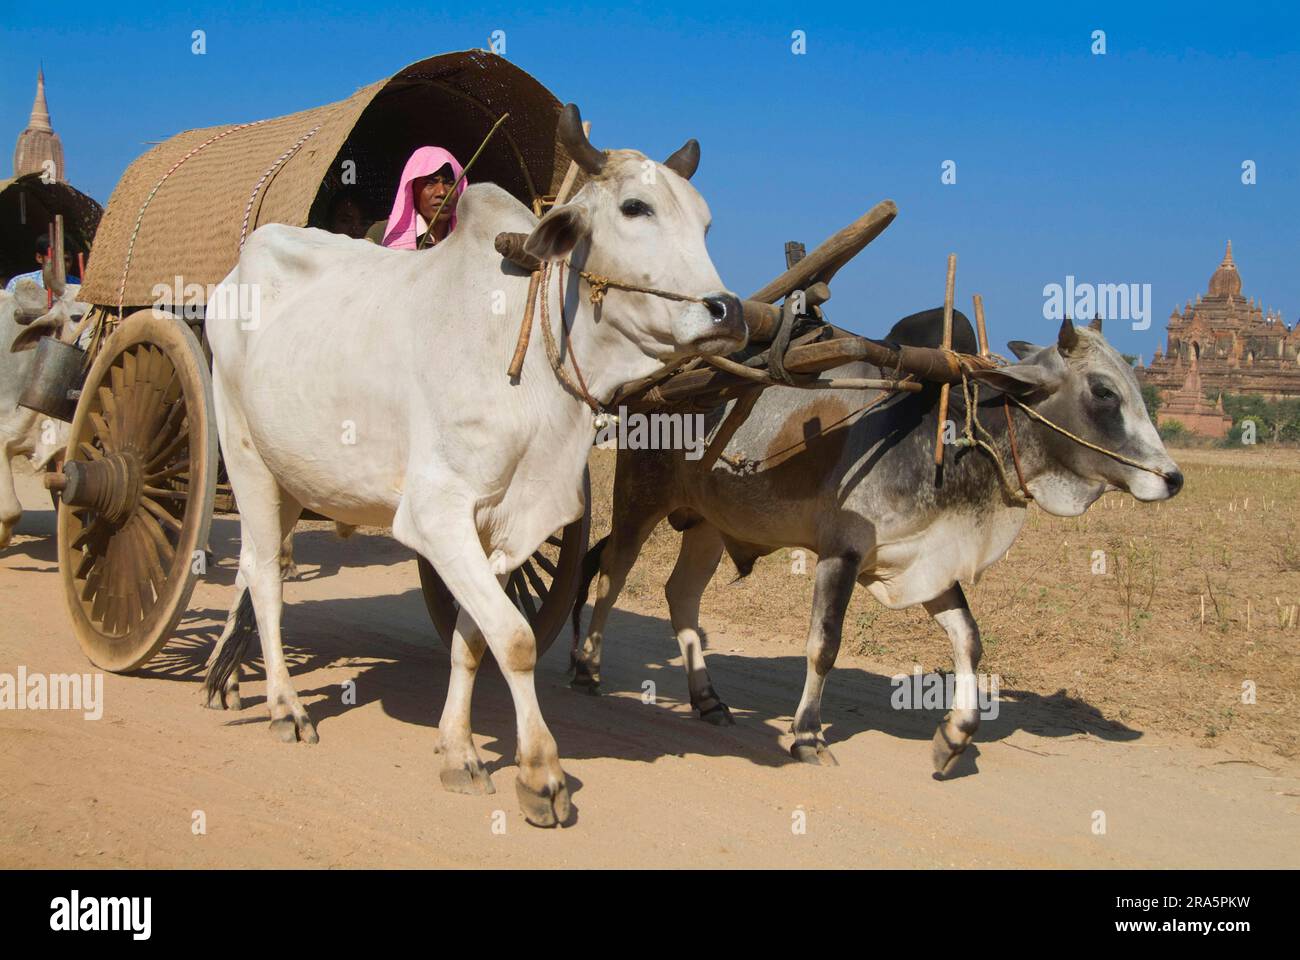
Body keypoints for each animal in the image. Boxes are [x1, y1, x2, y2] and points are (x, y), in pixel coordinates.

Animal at [200, 105, 748, 827]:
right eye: (636, 207)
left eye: (707, 221)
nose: (729, 311)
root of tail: (237, 268)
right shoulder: (436, 516)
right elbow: (514, 638)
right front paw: (541, 774)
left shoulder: (506, 529)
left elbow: (474, 638)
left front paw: (459, 753)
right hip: (244, 456)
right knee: (265, 578)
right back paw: (285, 708)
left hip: (292, 476)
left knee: (249, 567)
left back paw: (229, 678)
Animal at [570, 312, 1183, 777]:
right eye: (1103, 391)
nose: (1172, 478)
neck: (942, 439)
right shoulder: (840, 555)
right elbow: (824, 645)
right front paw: (807, 736)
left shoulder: (925, 561)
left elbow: (969, 640)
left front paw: (954, 737)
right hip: (640, 499)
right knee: (612, 575)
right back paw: (587, 669)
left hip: (705, 525)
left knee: (681, 596)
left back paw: (707, 699)